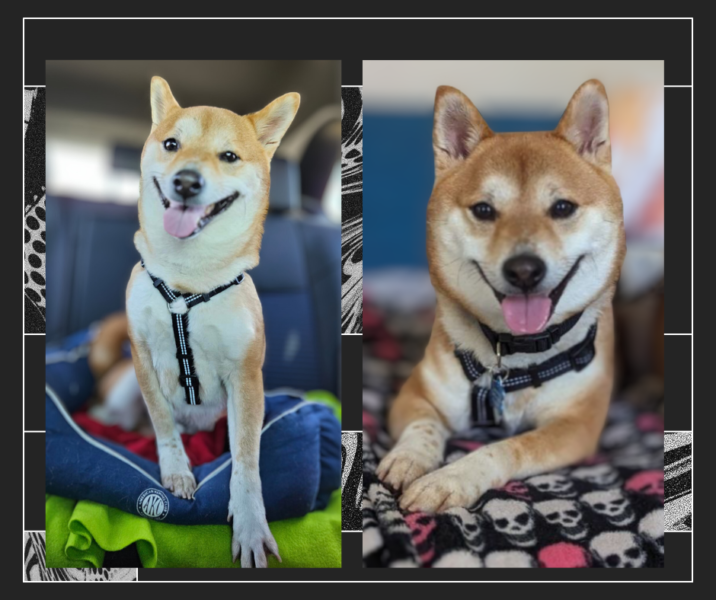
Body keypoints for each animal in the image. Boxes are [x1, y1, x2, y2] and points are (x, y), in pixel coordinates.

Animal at [126, 77, 299, 566]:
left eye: (229, 156)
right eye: (171, 144)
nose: (186, 181)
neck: (189, 283)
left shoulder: (245, 377)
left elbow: (246, 462)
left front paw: (251, 524)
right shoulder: (141, 358)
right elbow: (163, 423)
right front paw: (177, 470)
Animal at [376, 80, 626, 513]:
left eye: (562, 207)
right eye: (483, 210)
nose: (524, 270)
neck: (517, 356)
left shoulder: (575, 426)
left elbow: (508, 447)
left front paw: (448, 479)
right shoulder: (415, 394)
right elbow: (424, 426)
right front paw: (409, 458)